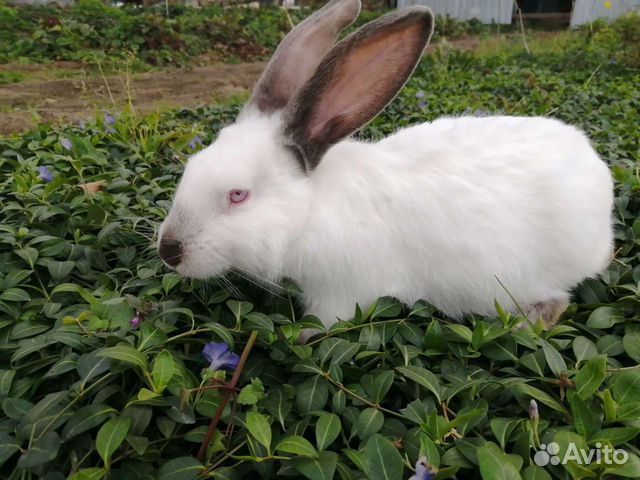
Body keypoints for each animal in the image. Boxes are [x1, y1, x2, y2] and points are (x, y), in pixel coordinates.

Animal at [157, 0, 614, 331]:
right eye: (191, 165)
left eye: (238, 195)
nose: (169, 252)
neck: (310, 210)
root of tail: (598, 171)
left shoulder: (340, 293)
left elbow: (325, 326)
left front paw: (300, 336)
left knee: (557, 300)